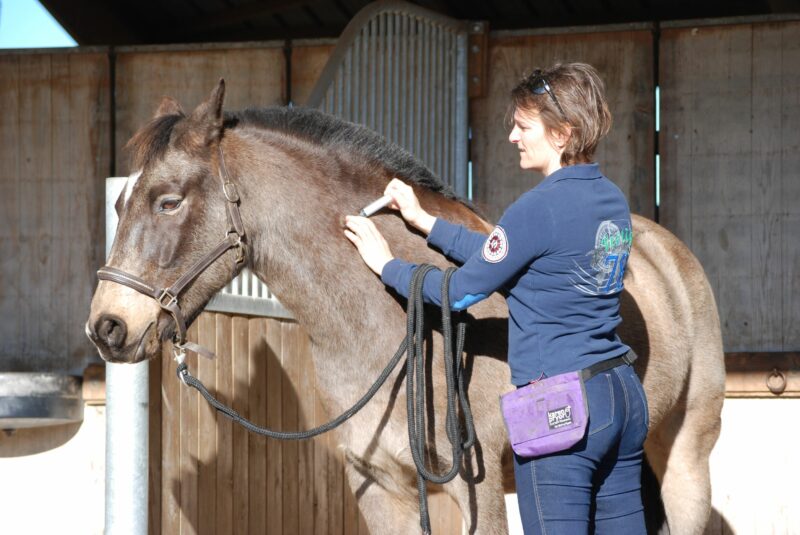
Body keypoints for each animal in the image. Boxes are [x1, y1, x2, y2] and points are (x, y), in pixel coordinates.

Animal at [86, 80, 725, 534]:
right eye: (119, 201)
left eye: (169, 201)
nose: (108, 327)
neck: (391, 323)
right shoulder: (379, 485)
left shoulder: (478, 487)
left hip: (685, 459)